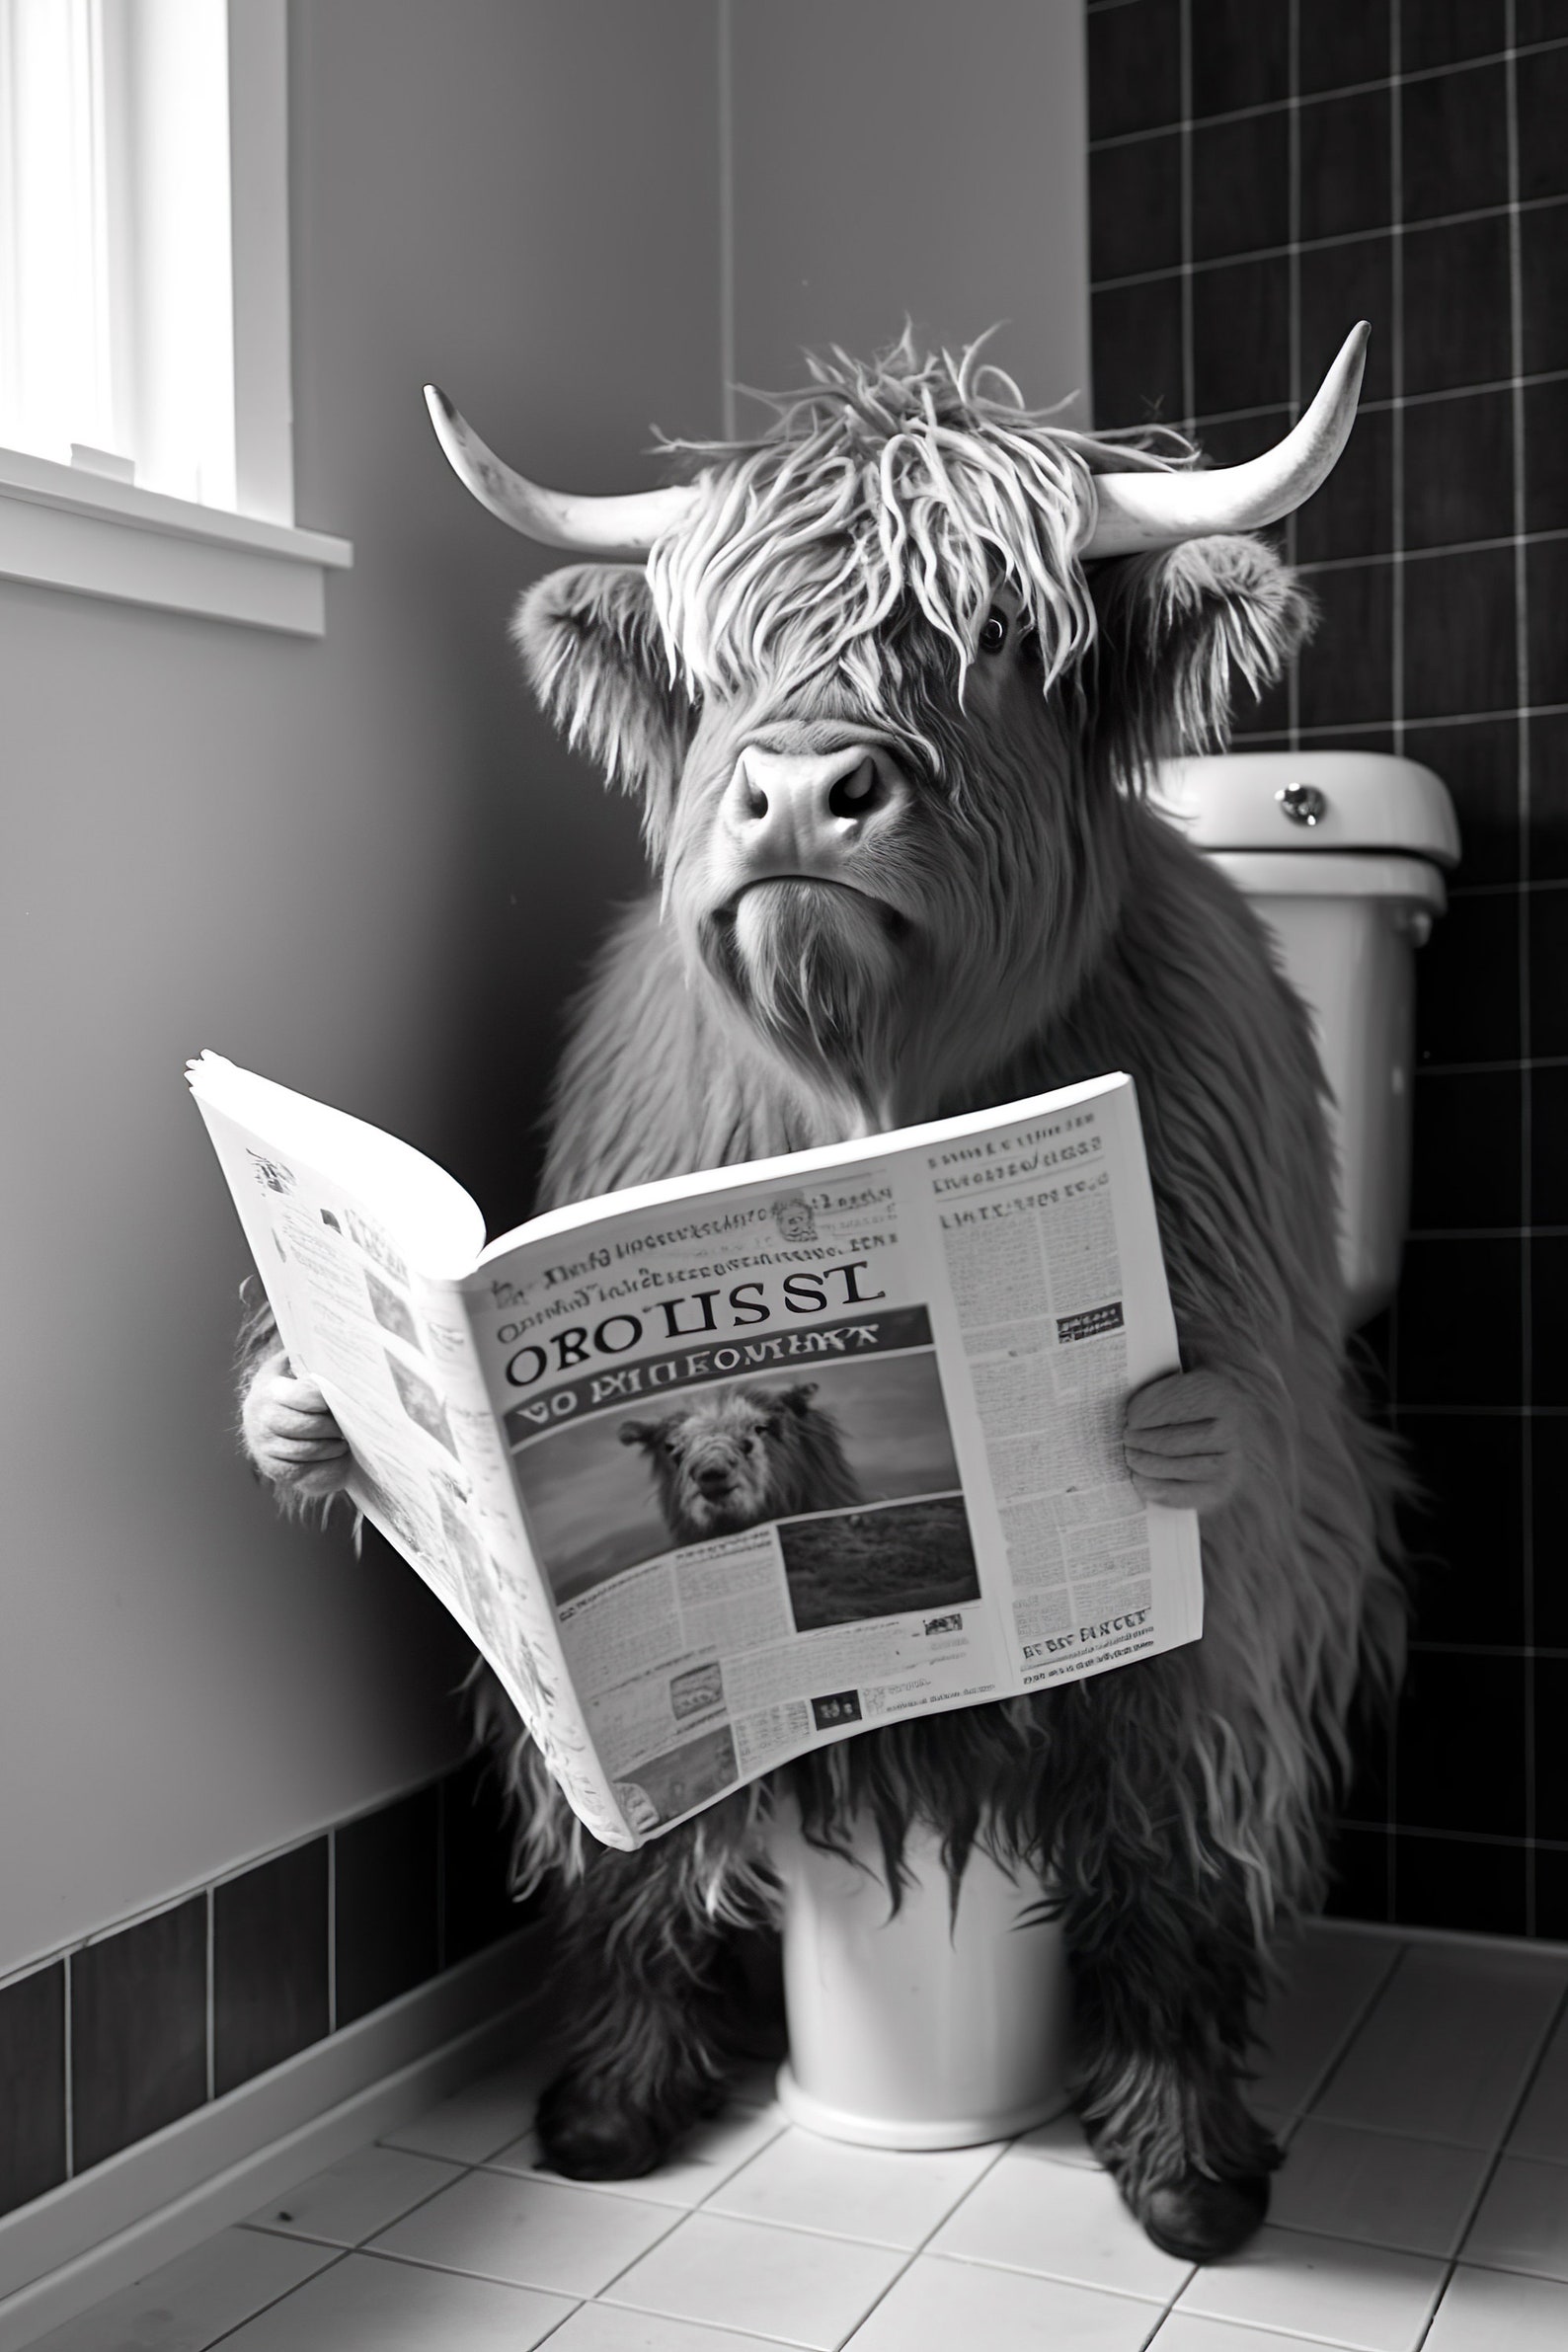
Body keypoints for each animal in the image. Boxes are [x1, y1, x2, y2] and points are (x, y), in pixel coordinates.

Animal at [240, 325, 1404, 2264]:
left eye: (995, 630)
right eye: (720, 658)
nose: (797, 787)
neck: (873, 1094)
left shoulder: (1260, 1477)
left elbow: (1191, 1740)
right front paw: (299, 1404)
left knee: (1172, 1793)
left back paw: (1182, 2154)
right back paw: (626, 2082)